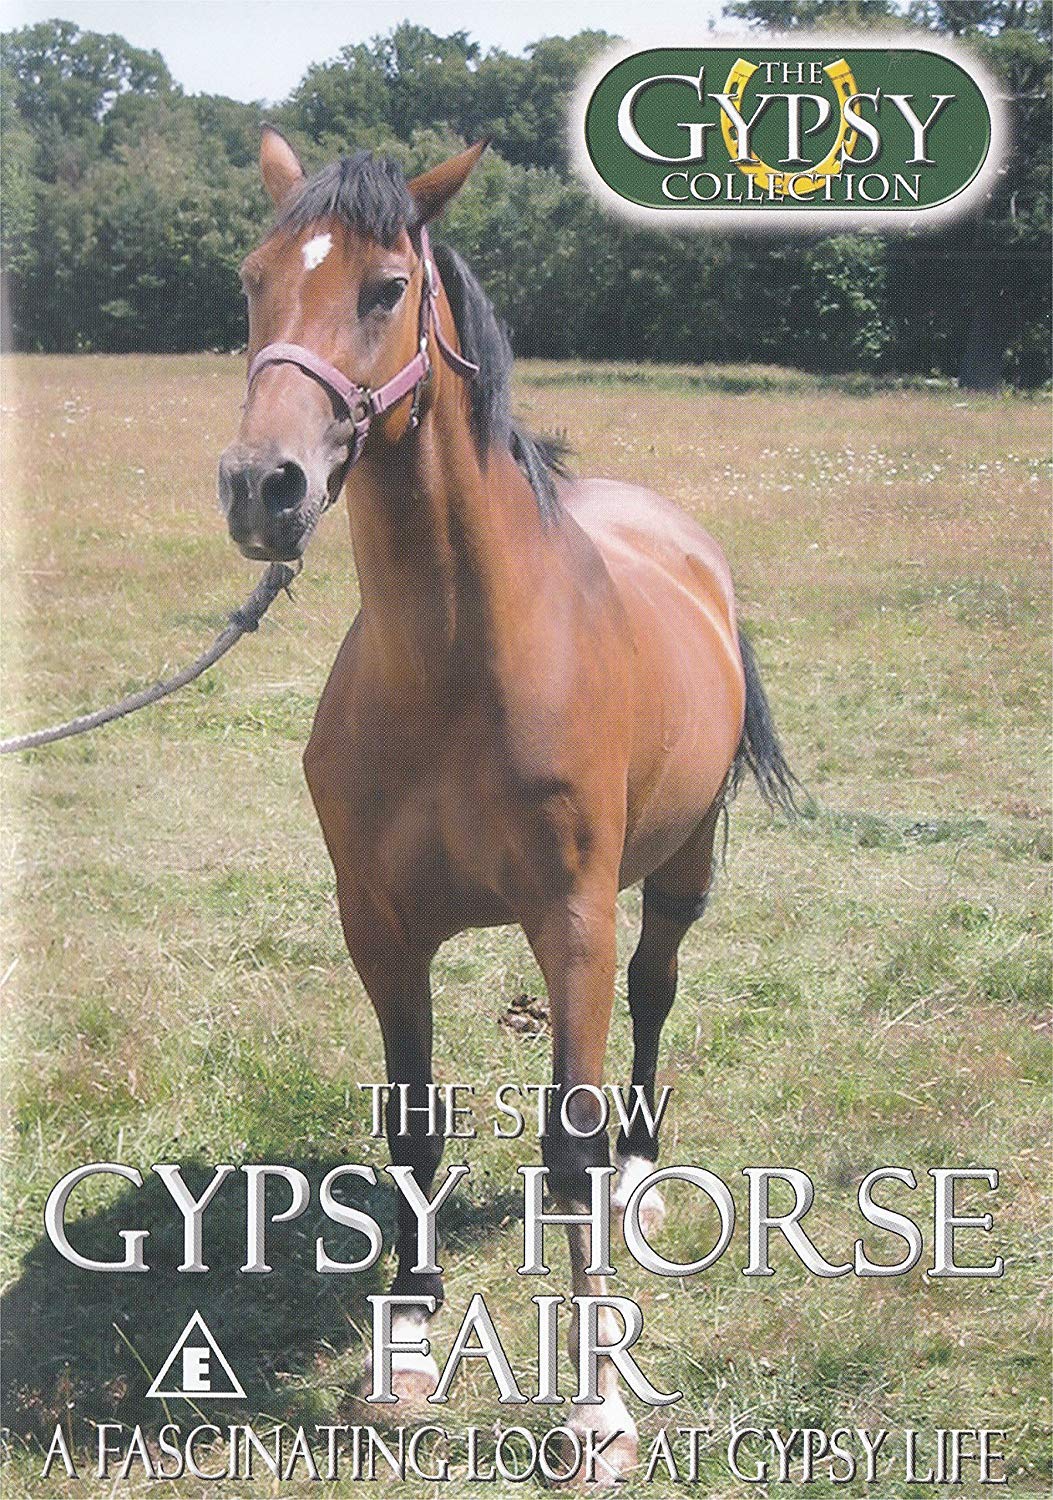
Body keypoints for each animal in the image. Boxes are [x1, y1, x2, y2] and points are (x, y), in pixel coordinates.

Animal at [218, 128, 798, 1478]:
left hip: (678, 871)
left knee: (652, 995)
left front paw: (596, 1407)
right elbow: (413, 1128)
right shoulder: (378, 930)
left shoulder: (571, 919)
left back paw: (643, 1167)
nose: (263, 487)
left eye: (385, 288)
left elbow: (570, 1141)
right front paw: (406, 1346)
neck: (455, 671)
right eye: (254, 284)